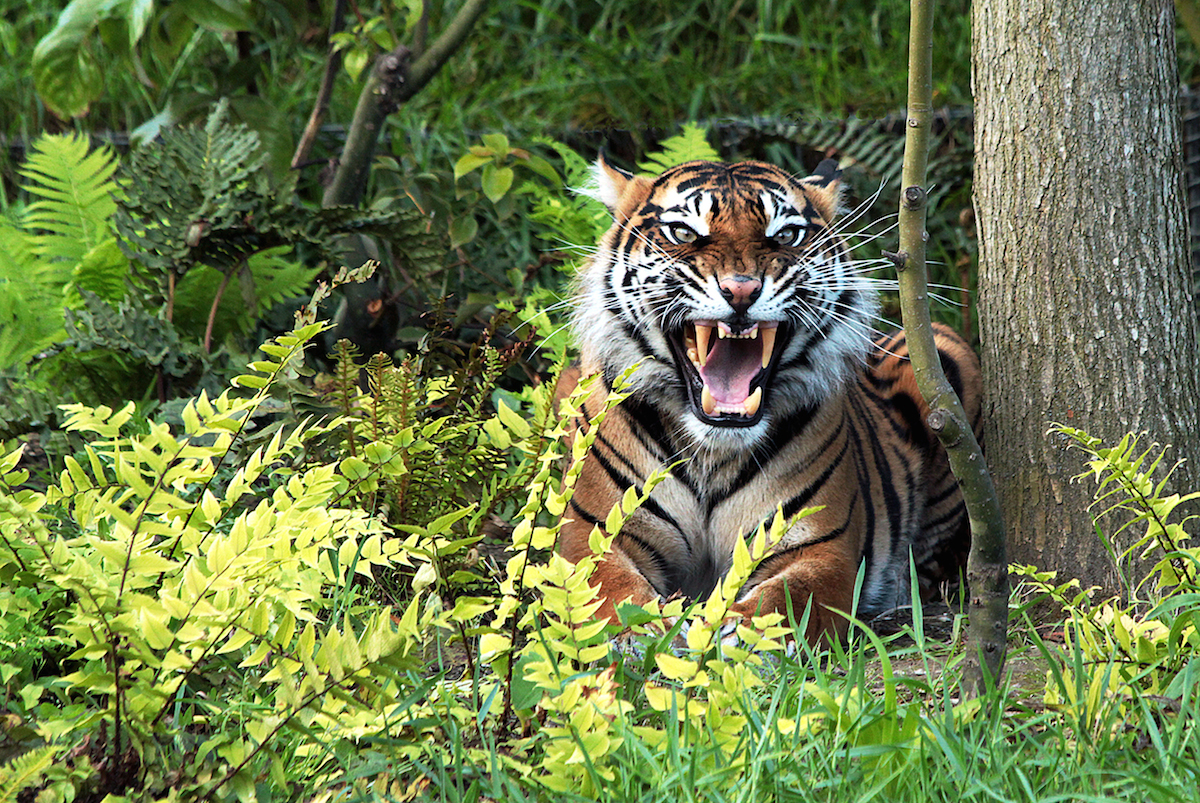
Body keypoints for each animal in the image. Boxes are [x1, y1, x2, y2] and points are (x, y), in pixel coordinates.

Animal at [555, 156, 982, 645]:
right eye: (683, 232)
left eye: (785, 235)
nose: (741, 290)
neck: (712, 453)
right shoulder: (592, 534)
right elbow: (605, 590)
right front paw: (643, 631)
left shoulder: (819, 548)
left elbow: (788, 599)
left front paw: (735, 635)